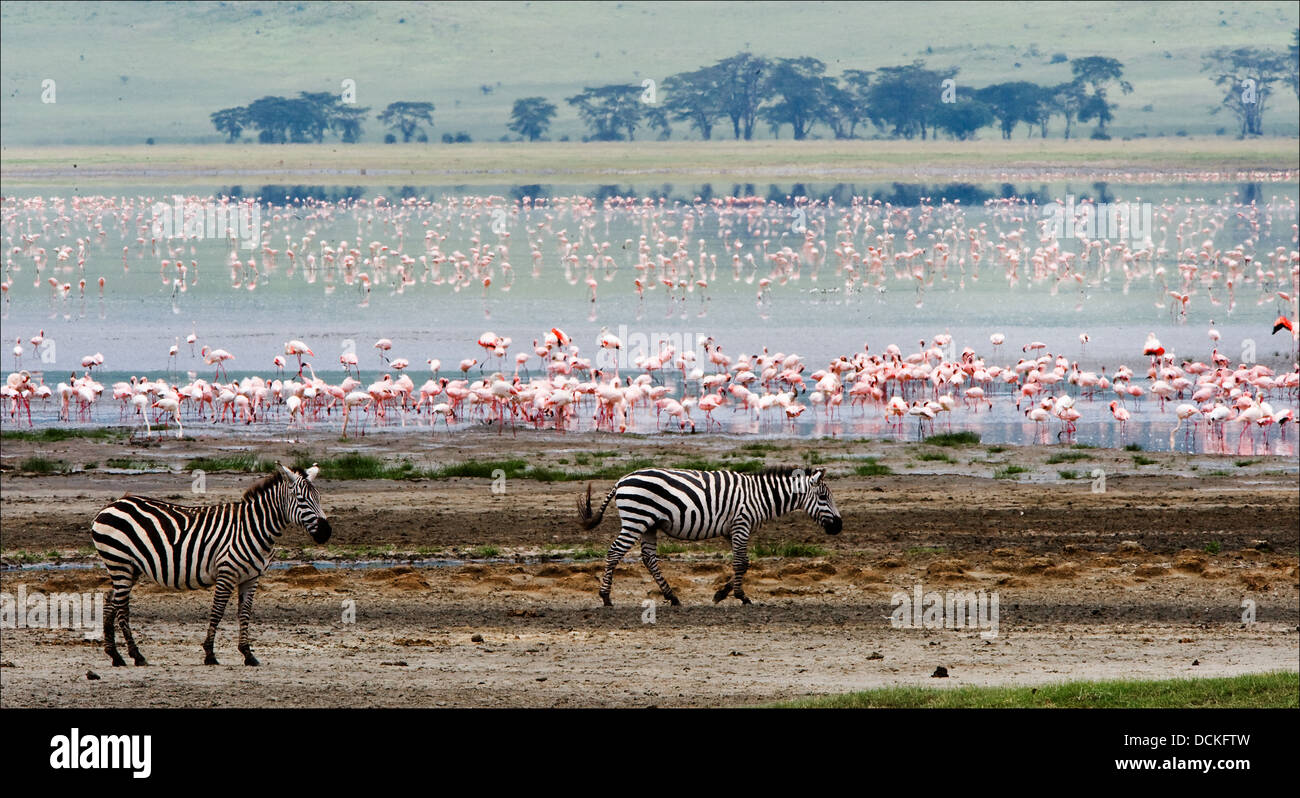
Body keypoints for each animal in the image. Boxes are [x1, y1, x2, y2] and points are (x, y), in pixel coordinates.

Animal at [90, 463, 331, 667]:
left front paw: (248, 654)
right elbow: (217, 611)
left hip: (130, 567)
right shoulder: (227, 572)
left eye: (319, 498)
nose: (326, 532)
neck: (255, 527)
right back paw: (136, 655)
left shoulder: (251, 577)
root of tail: (111, 505)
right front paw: (209, 654)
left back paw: (115, 655)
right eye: (300, 499)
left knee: (111, 602)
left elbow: (245, 613)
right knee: (122, 608)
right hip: (120, 563)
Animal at [577, 466, 842, 606]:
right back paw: (606, 597)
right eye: (823, 498)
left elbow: (744, 563)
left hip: (649, 524)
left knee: (649, 558)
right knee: (614, 552)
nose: (839, 527)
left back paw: (672, 596)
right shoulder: (741, 524)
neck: (760, 497)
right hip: (636, 519)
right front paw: (741, 596)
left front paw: (722, 593)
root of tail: (622, 479)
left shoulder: (731, 529)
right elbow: (740, 562)